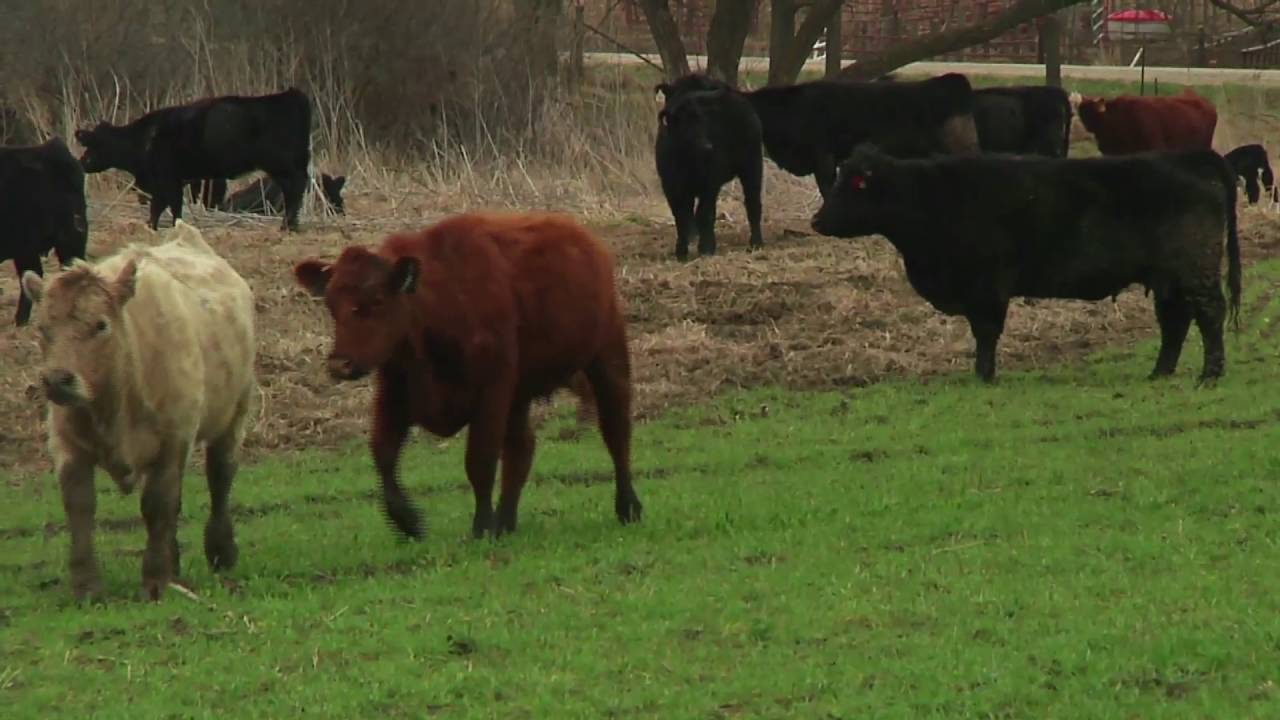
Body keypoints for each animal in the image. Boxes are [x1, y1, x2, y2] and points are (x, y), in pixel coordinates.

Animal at [21, 220, 258, 601]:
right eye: (43, 329)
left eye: (101, 324)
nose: (57, 380)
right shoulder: (66, 445)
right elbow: (80, 506)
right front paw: (87, 585)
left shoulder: (174, 440)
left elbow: (158, 503)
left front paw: (156, 580)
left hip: (235, 413)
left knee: (220, 476)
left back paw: (221, 551)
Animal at [75, 87, 312, 231]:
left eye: (95, 144)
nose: (82, 162)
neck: (143, 139)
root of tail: (290, 95)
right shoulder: (178, 181)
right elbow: (169, 206)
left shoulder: (167, 180)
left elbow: (164, 206)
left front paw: (159, 226)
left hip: (281, 164)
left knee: (294, 187)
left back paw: (287, 225)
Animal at [293, 212, 643, 540]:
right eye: (330, 304)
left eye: (376, 301)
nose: (340, 364)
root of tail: (585, 239)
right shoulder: (394, 394)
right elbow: (384, 455)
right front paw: (407, 521)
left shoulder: (491, 393)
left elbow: (480, 461)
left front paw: (481, 526)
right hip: (518, 397)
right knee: (522, 448)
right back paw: (506, 522)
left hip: (607, 359)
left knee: (616, 432)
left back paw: (628, 506)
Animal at [653, 86, 763, 260]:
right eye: (685, 125)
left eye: (705, 123)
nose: (707, 147)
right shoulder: (672, 187)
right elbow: (681, 216)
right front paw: (681, 251)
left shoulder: (709, 184)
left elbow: (704, 214)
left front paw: (706, 248)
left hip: (752, 165)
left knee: (753, 203)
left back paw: (756, 243)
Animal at [809, 145, 1242, 384]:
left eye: (855, 184)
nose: (816, 220)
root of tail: (1188, 155)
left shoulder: (987, 286)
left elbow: (986, 333)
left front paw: (983, 376)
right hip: (1169, 277)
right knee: (1175, 321)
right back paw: (1160, 373)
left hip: (1194, 268)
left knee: (1209, 313)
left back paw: (1210, 374)